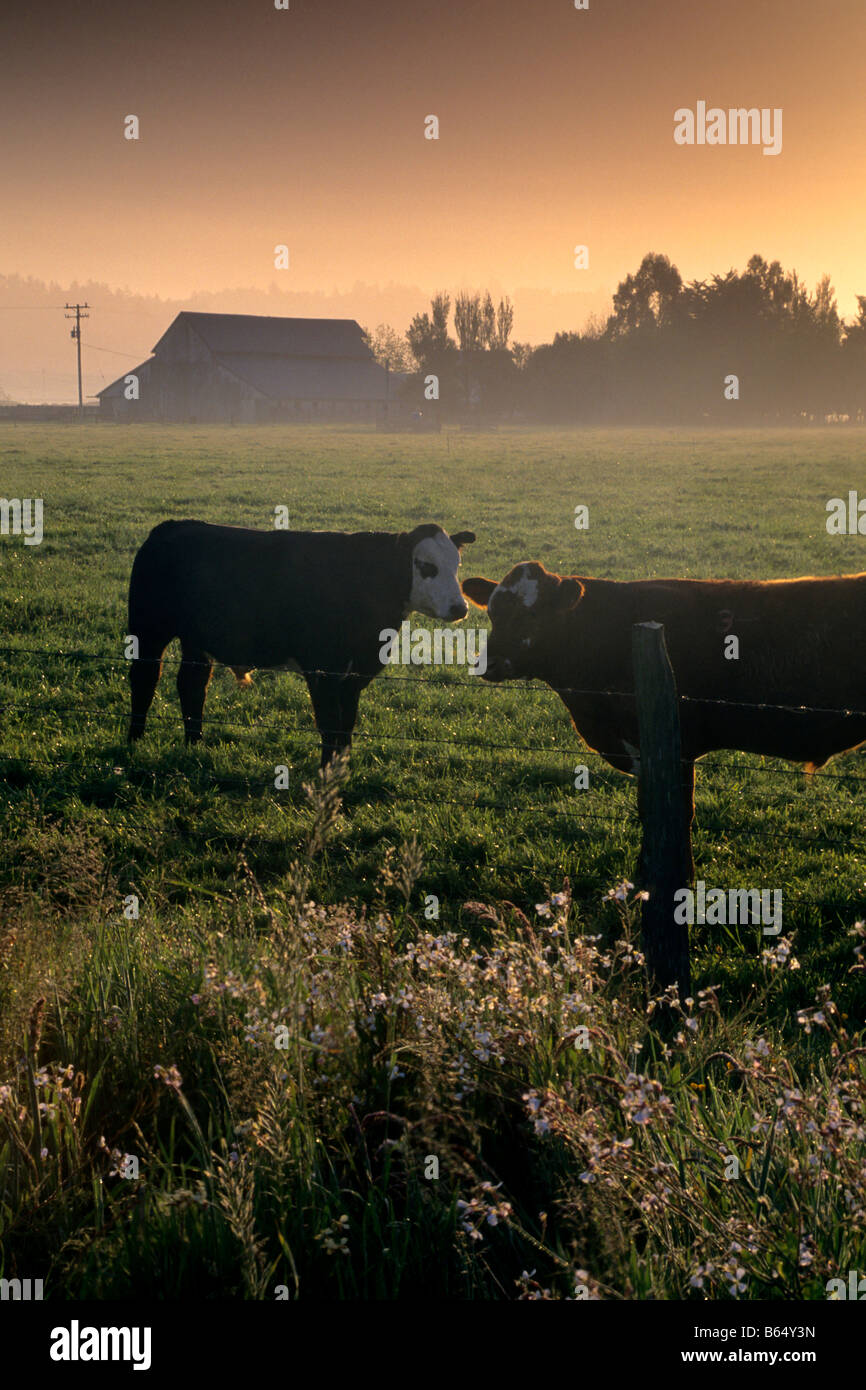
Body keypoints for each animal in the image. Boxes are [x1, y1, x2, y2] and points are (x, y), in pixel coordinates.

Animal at [128, 520, 476, 766]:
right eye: (427, 566)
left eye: (456, 566)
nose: (460, 608)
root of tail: (172, 526)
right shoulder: (322, 670)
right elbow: (329, 725)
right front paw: (326, 776)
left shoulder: (355, 674)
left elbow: (345, 726)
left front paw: (340, 770)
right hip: (148, 629)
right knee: (145, 678)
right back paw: (135, 740)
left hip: (196, 640)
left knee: (192, 683)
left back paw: (195, 743)